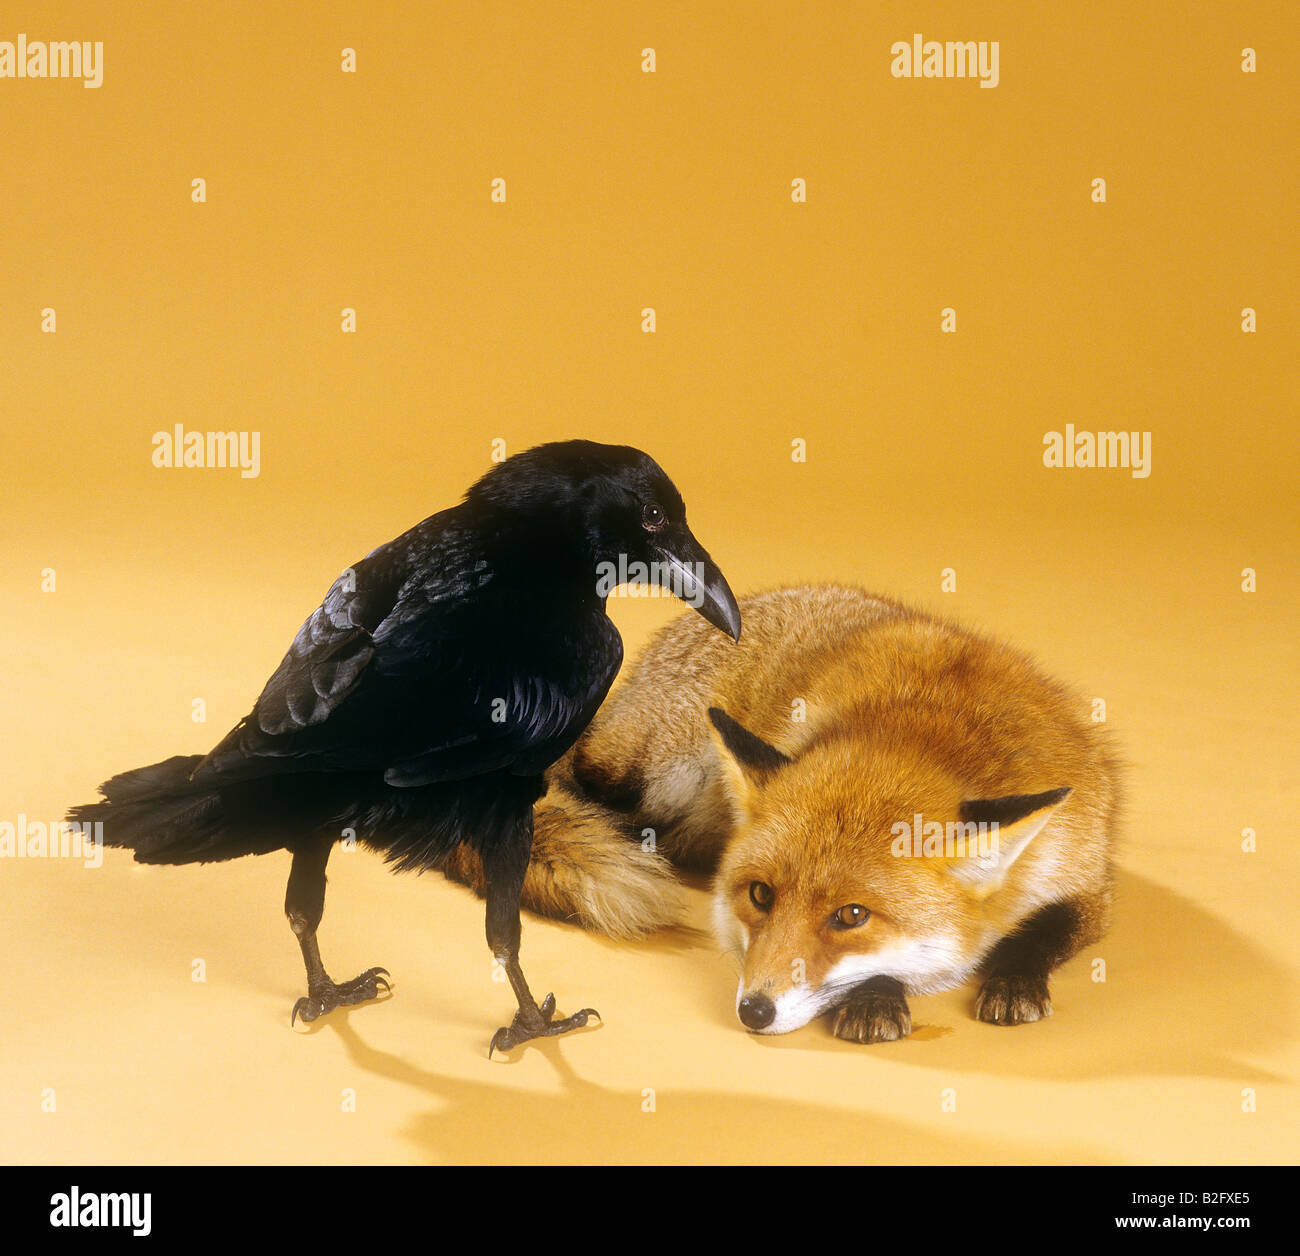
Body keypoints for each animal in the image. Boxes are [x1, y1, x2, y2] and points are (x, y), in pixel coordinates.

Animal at [441, 585, 1120, 1042]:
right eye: (761, 895)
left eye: (852, 916)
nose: (754, 1011)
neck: (935, 736)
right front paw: (876, 997)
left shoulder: (1090, 879)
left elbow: (1045, 932)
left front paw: (1013, 981)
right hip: (653, 769)